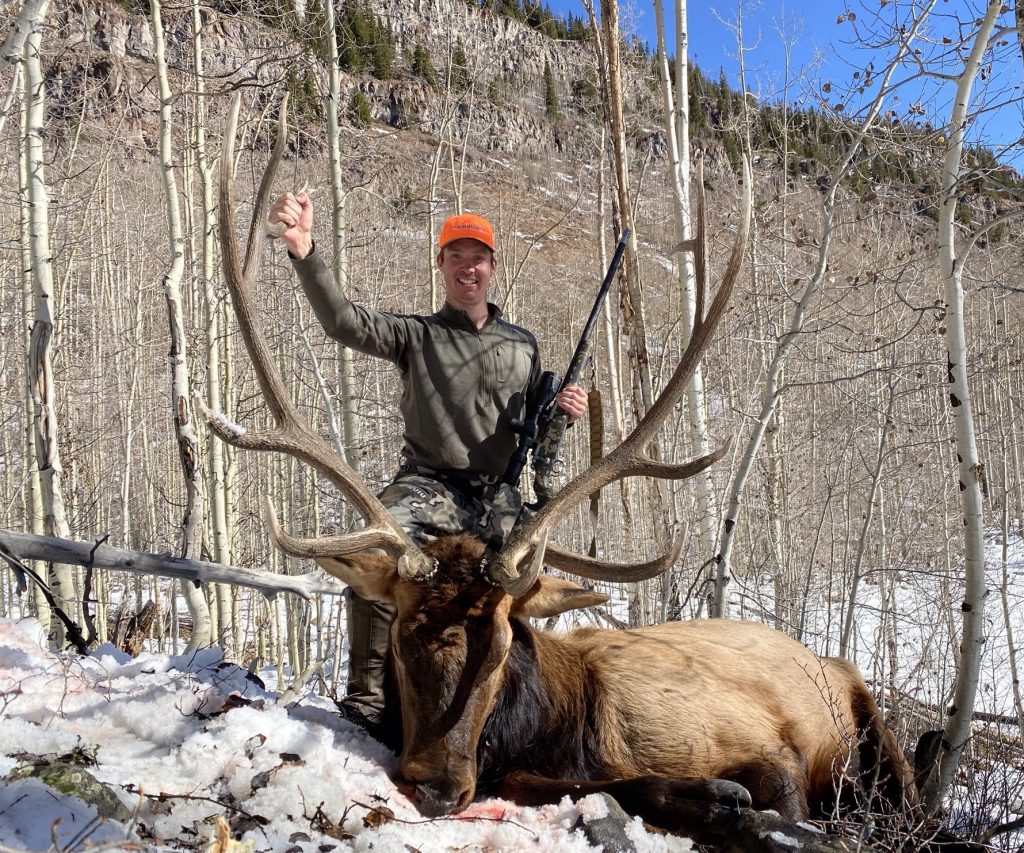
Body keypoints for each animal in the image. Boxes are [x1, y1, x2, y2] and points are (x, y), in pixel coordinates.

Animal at [202, 93, 918, 843]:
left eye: (500, 646)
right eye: (400, 638)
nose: (435, 784)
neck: (558, 722)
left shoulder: (770, 747)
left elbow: (775, 798)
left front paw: (729, 800)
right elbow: (590, 784)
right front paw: (708, 797)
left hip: (866, 714)